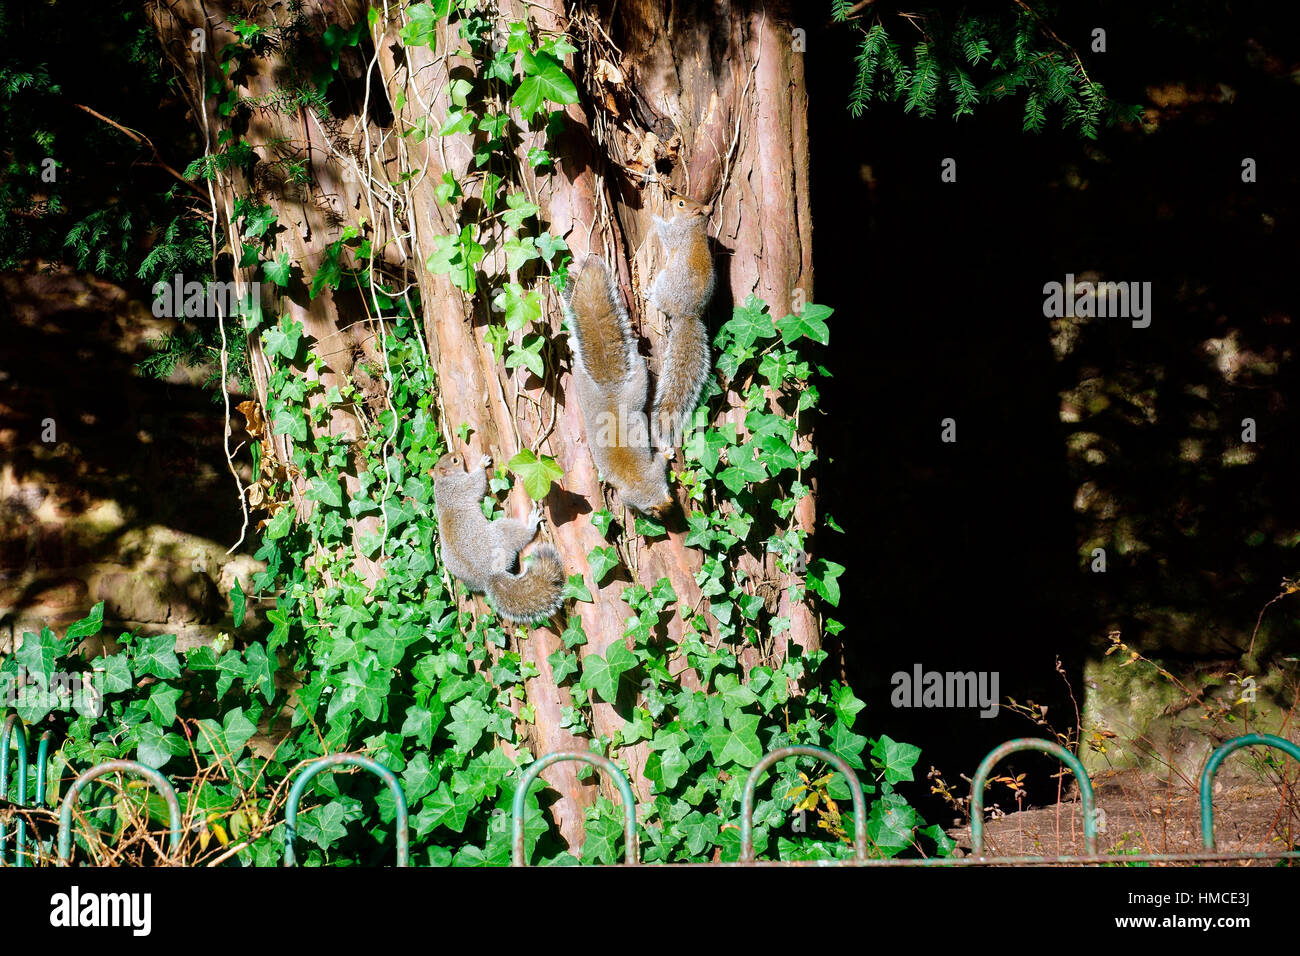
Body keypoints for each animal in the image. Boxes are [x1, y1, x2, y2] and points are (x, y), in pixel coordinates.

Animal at [431, 451, 565, 623]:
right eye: (454, 460)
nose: (459, 453)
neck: (443, 482)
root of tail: (489, 574)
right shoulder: (463, 486)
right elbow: (477, 483)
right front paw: (482, 463)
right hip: (501, 533)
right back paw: (532, 523)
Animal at [562, 255, 673, 515]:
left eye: (667, 492)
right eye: (650, 510)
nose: (670, 507)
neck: (640, 480)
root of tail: (610, 386)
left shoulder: (653, 470)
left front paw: (667, 451)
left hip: (634, 383)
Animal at [647, 195, 715, 452]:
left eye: (681, 204)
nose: (672, 197)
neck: (694, 225)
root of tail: (687, 315)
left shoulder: (676, 234)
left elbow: (666, 233)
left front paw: (655, 216)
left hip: (664, 282)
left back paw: (650, 295)